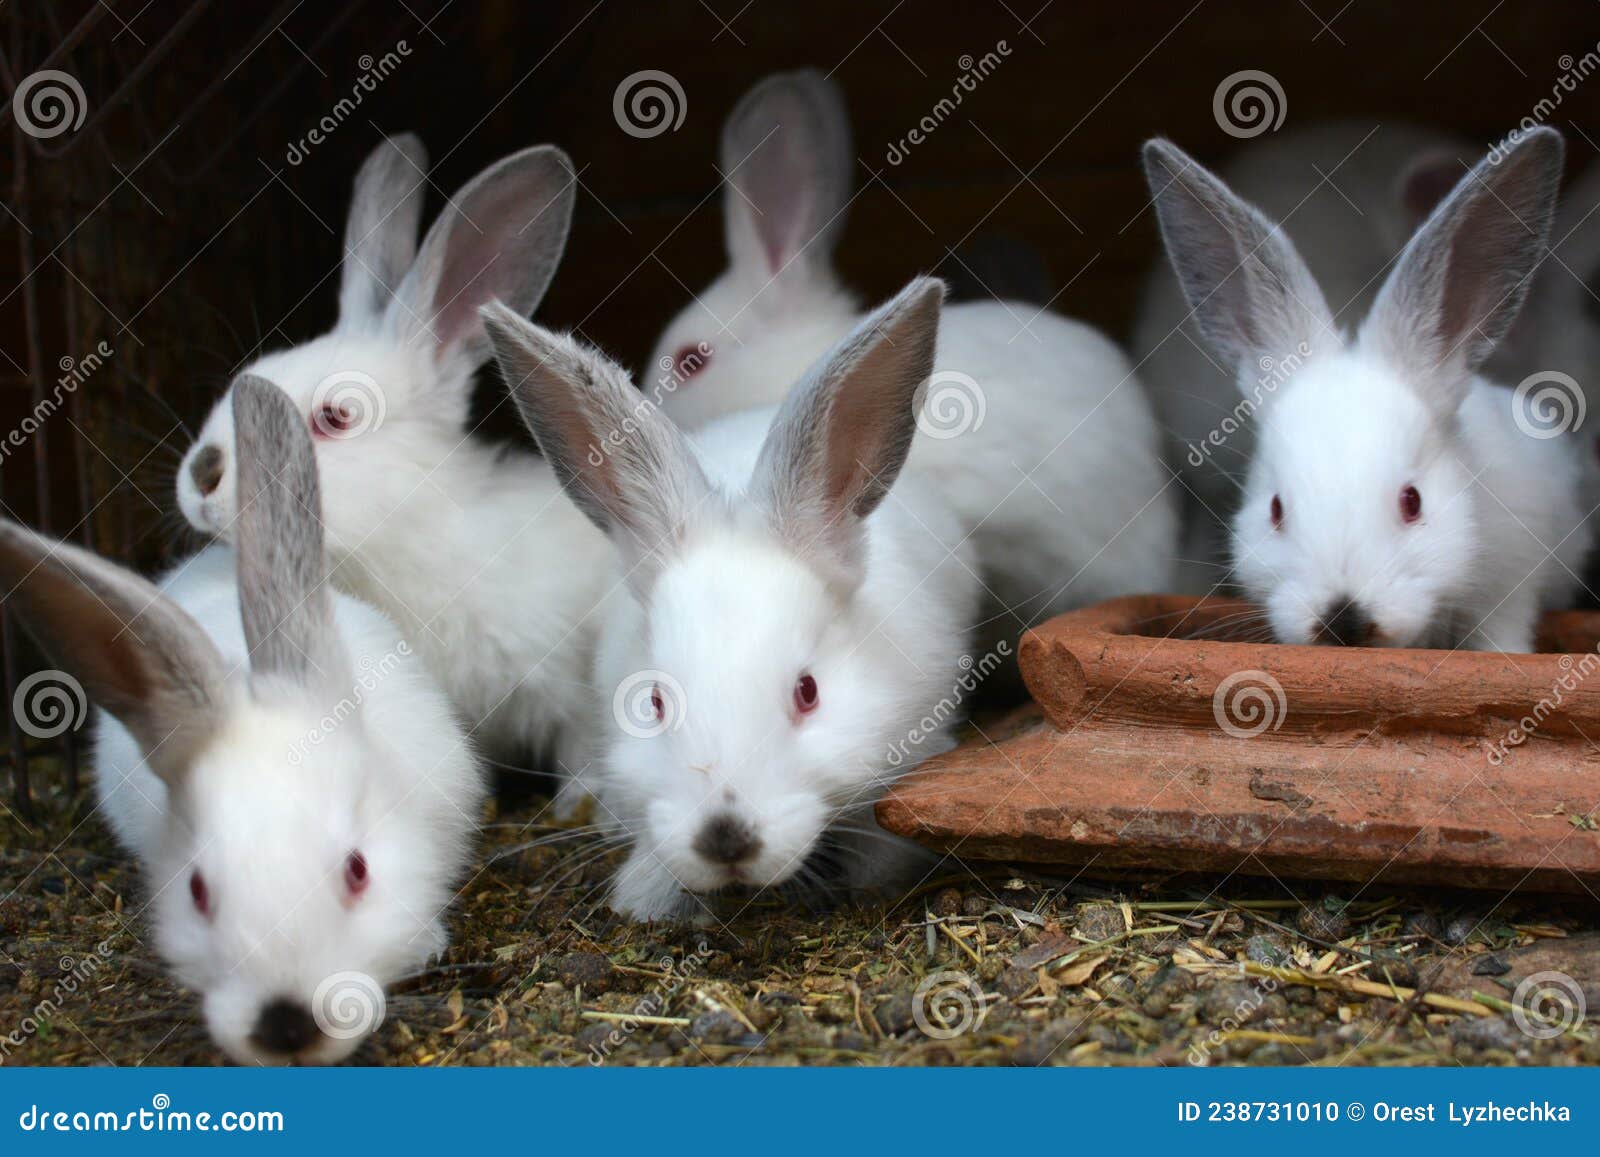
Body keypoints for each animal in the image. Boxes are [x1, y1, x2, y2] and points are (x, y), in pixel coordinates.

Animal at [174, 134, 615, 815]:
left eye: (336, 417)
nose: (203, 476)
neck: (413, 539)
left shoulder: (572, 688)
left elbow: (585, 747)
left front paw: (577, 805)